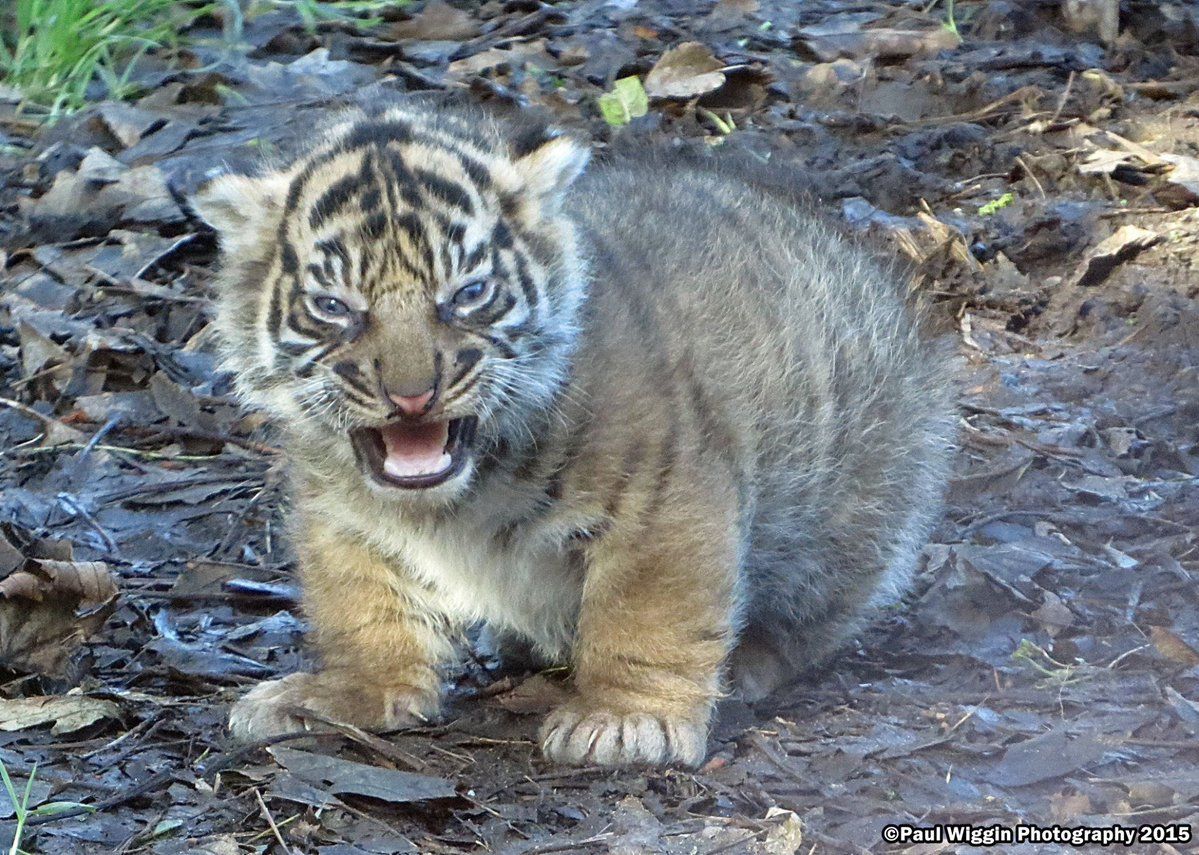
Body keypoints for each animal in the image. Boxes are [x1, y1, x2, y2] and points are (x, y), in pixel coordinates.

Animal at [191, 95, 955, 768]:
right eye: (333, 307)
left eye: (468, 294)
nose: (411, 396)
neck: (447, 503)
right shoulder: (338, 515)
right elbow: (358, 606)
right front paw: (346, 694)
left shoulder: (663, 499)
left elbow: (646, 612)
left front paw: (626, 722)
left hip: (851, 513)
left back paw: (748, 663)